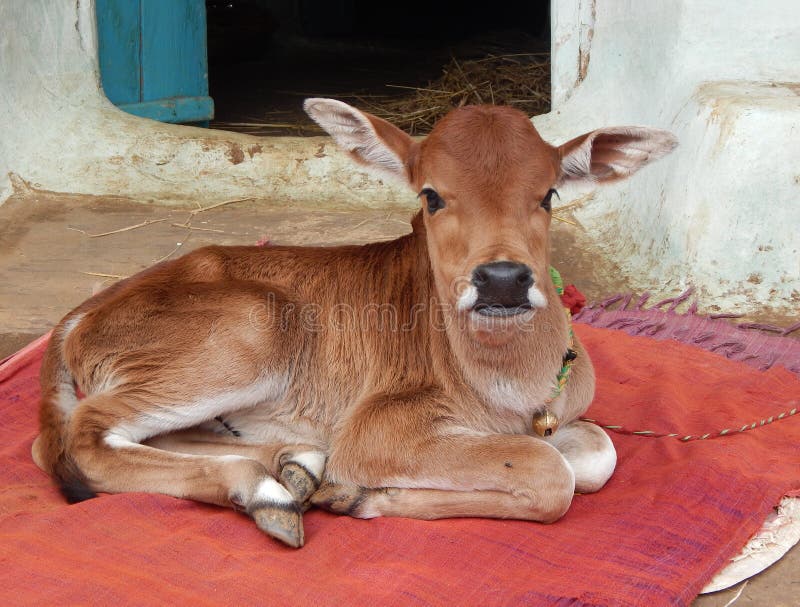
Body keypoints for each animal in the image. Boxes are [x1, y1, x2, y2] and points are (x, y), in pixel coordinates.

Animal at [33, 99, 677, 547]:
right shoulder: (379, 428)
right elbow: (552, 474)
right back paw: (271, 490)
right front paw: (370, 495)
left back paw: (296, 468)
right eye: (431, 196)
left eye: (548, 195)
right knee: (77, 437)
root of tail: (82, 312)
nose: (502, 279)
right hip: (250, 330)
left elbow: (596, 452)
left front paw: (344, 486)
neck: (512, 381)